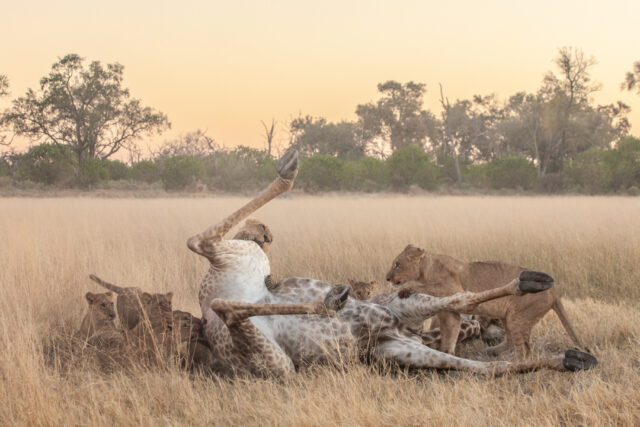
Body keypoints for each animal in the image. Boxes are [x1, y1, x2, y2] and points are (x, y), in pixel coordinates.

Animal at [385, 245, 583, 359]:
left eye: (397, 264)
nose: (387, 278)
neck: (425, 269)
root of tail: (553, 291)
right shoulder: (449, 312)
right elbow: (449, 331)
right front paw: (446, 352)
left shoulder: (453, 288)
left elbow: (428, 288)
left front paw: (407, 289)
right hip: (508, 317)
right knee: (511, 340)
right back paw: (492, 352)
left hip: (518, 317)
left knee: (525, 350)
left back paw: (516, 366)